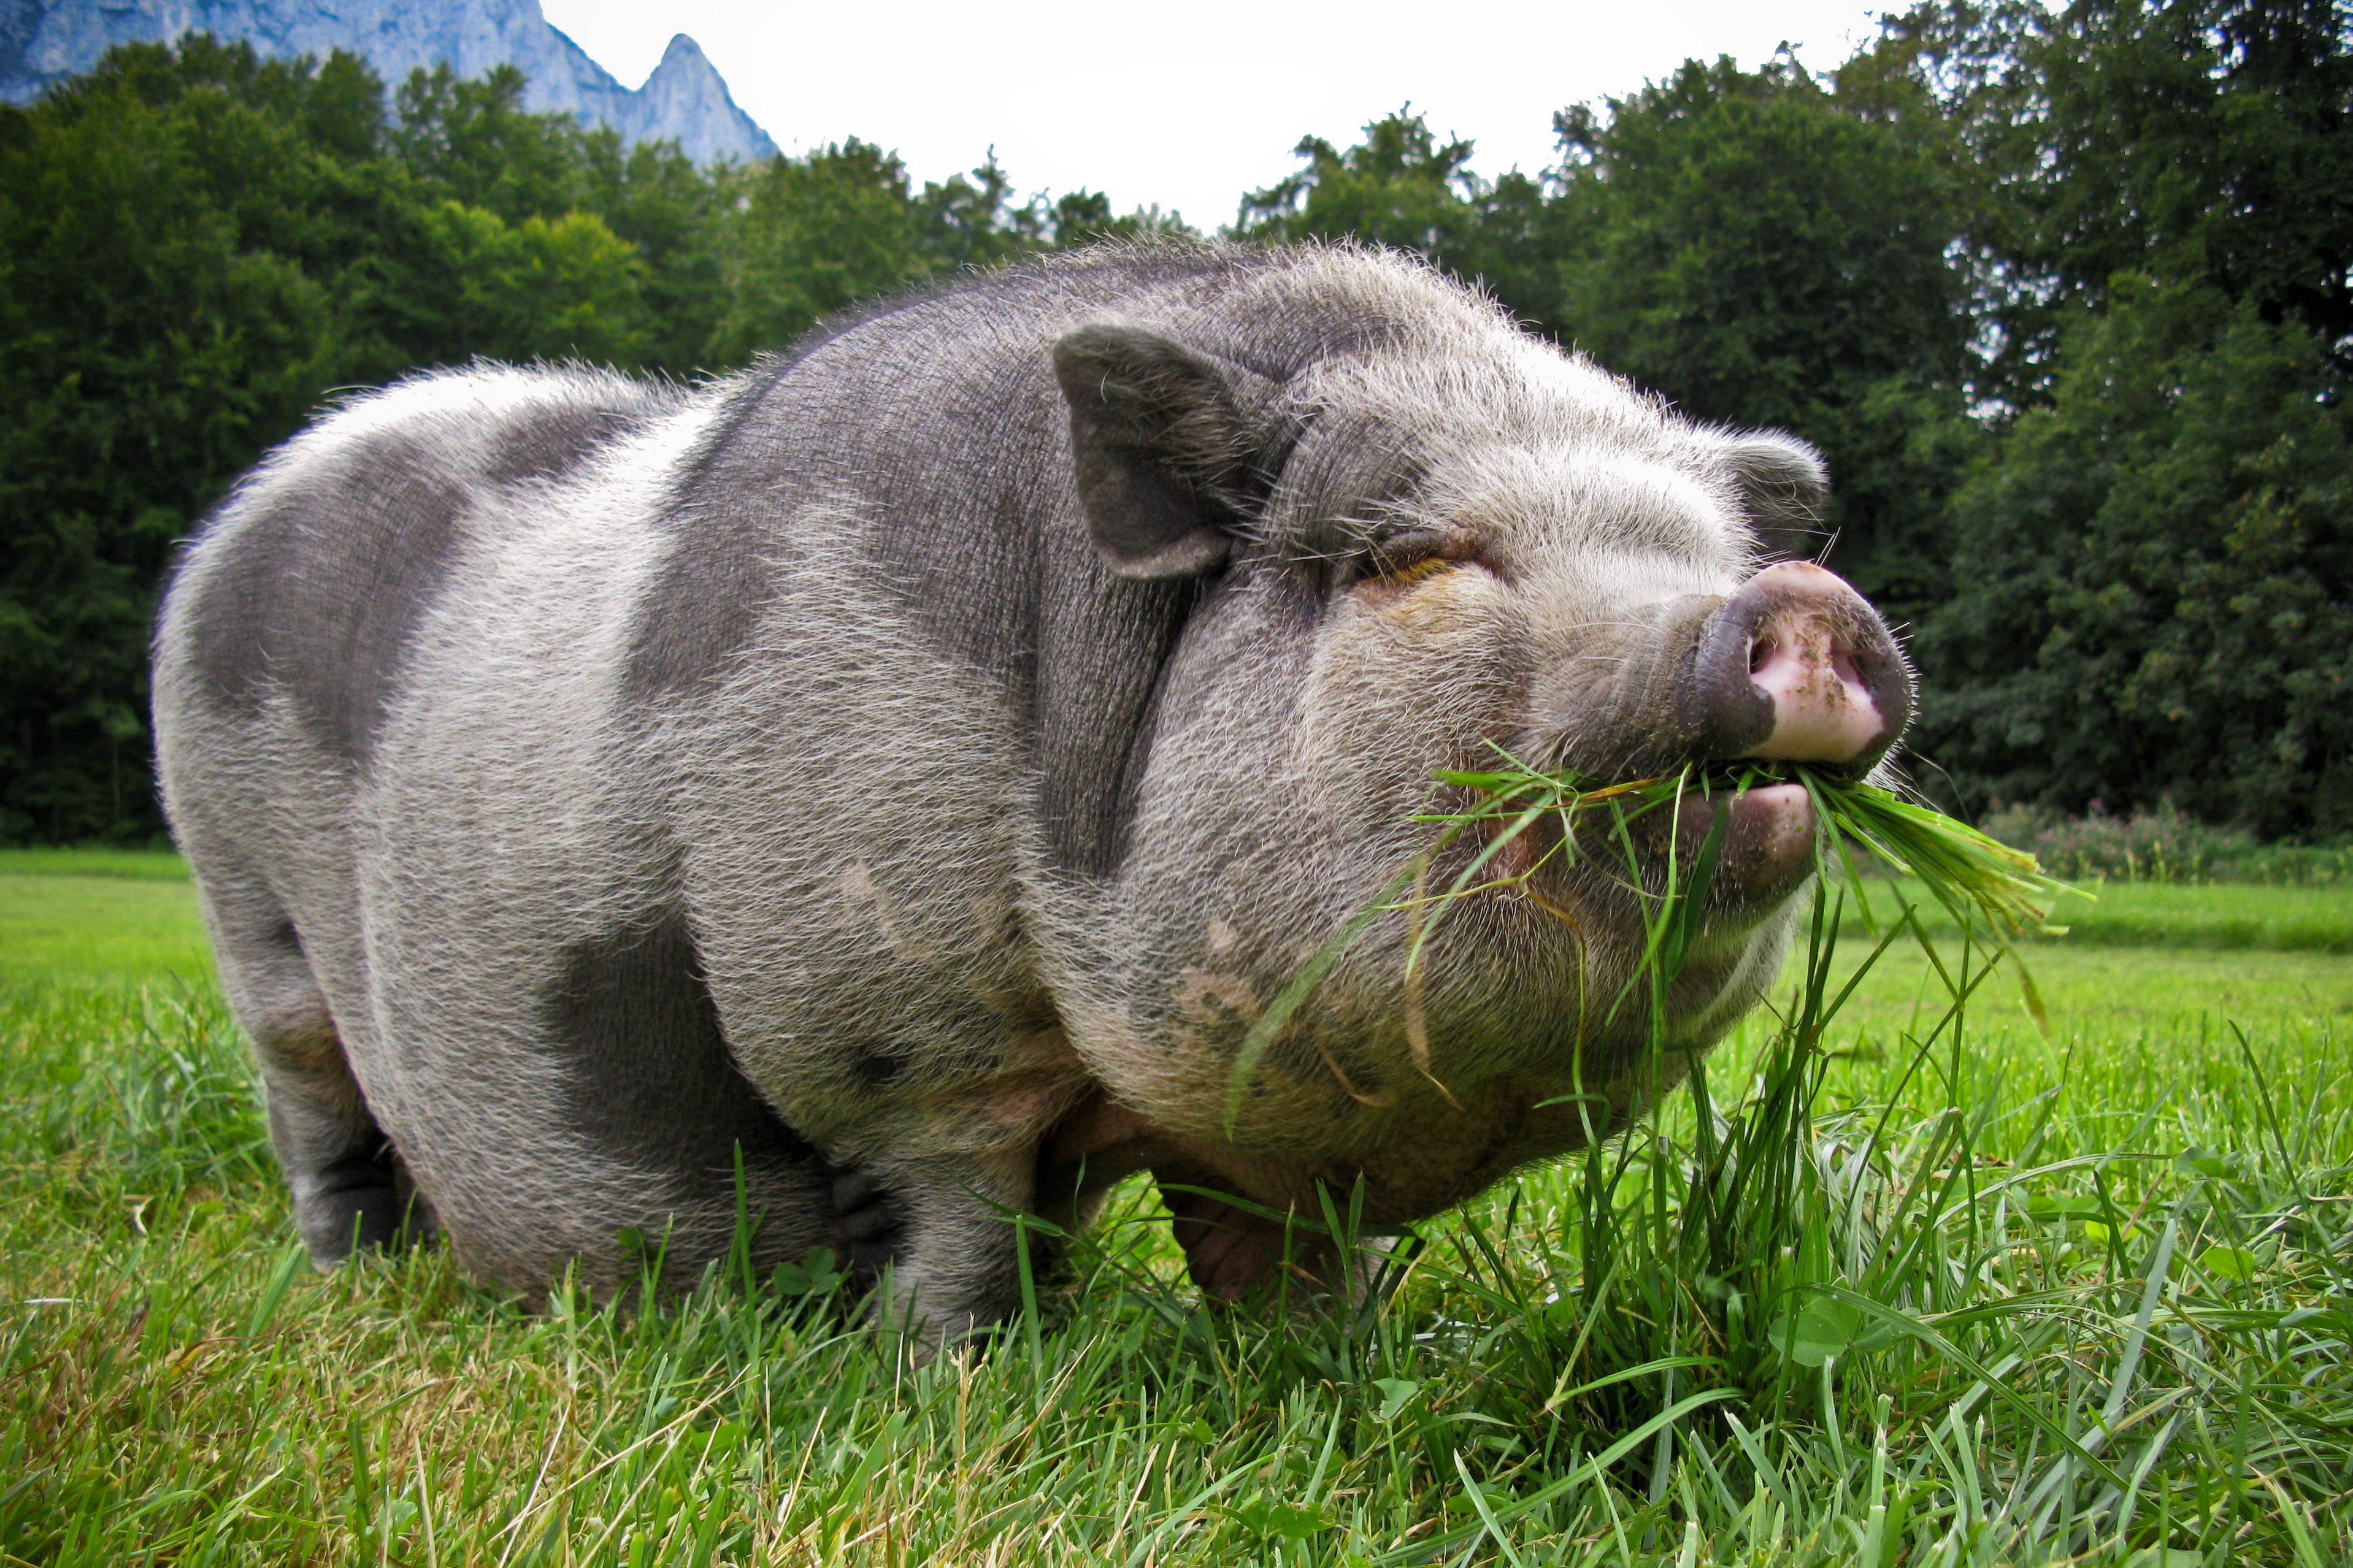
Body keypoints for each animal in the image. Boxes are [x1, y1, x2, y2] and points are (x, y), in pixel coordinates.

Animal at [151, 240, 1911, 1340]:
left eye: (1708, 549)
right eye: (1417, 557)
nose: (1799, 603)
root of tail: (237, 512)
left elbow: (1284, 1268)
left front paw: (1334, 1380)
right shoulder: (889, 1022)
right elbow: (957, 1222)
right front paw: (970, 1386)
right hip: (242, 904)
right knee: (318, 1112)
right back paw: (356, 1288)